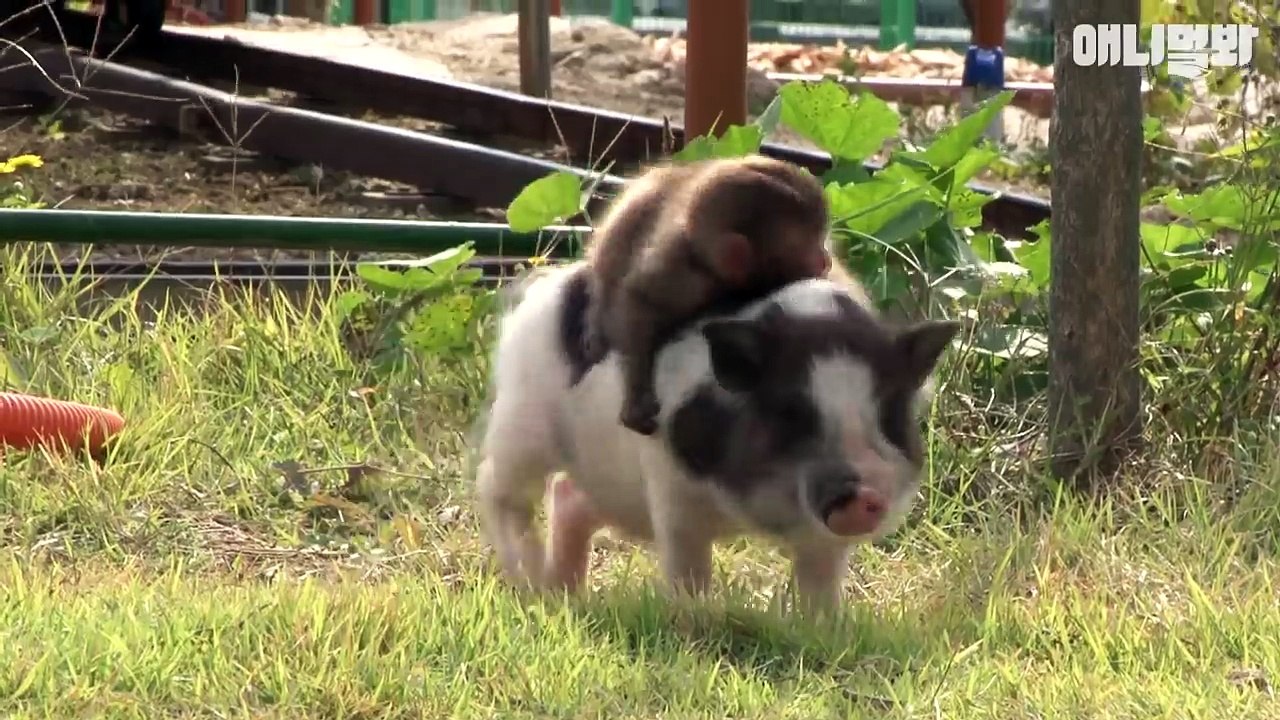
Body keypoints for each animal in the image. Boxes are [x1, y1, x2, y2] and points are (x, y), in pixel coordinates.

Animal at [473, 261, 959, 615]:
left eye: (888, 414)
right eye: (790, 414)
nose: (861, 492)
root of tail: (548, 285)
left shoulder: (823, 541)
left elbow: (819, 579)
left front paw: (823, 630)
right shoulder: (671, 485)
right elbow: (687, 563)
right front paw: (694, 620)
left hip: (610, 480)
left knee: (568, 495)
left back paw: (562, 594)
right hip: (523, 418)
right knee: (496, 484)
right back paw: (528, 579)